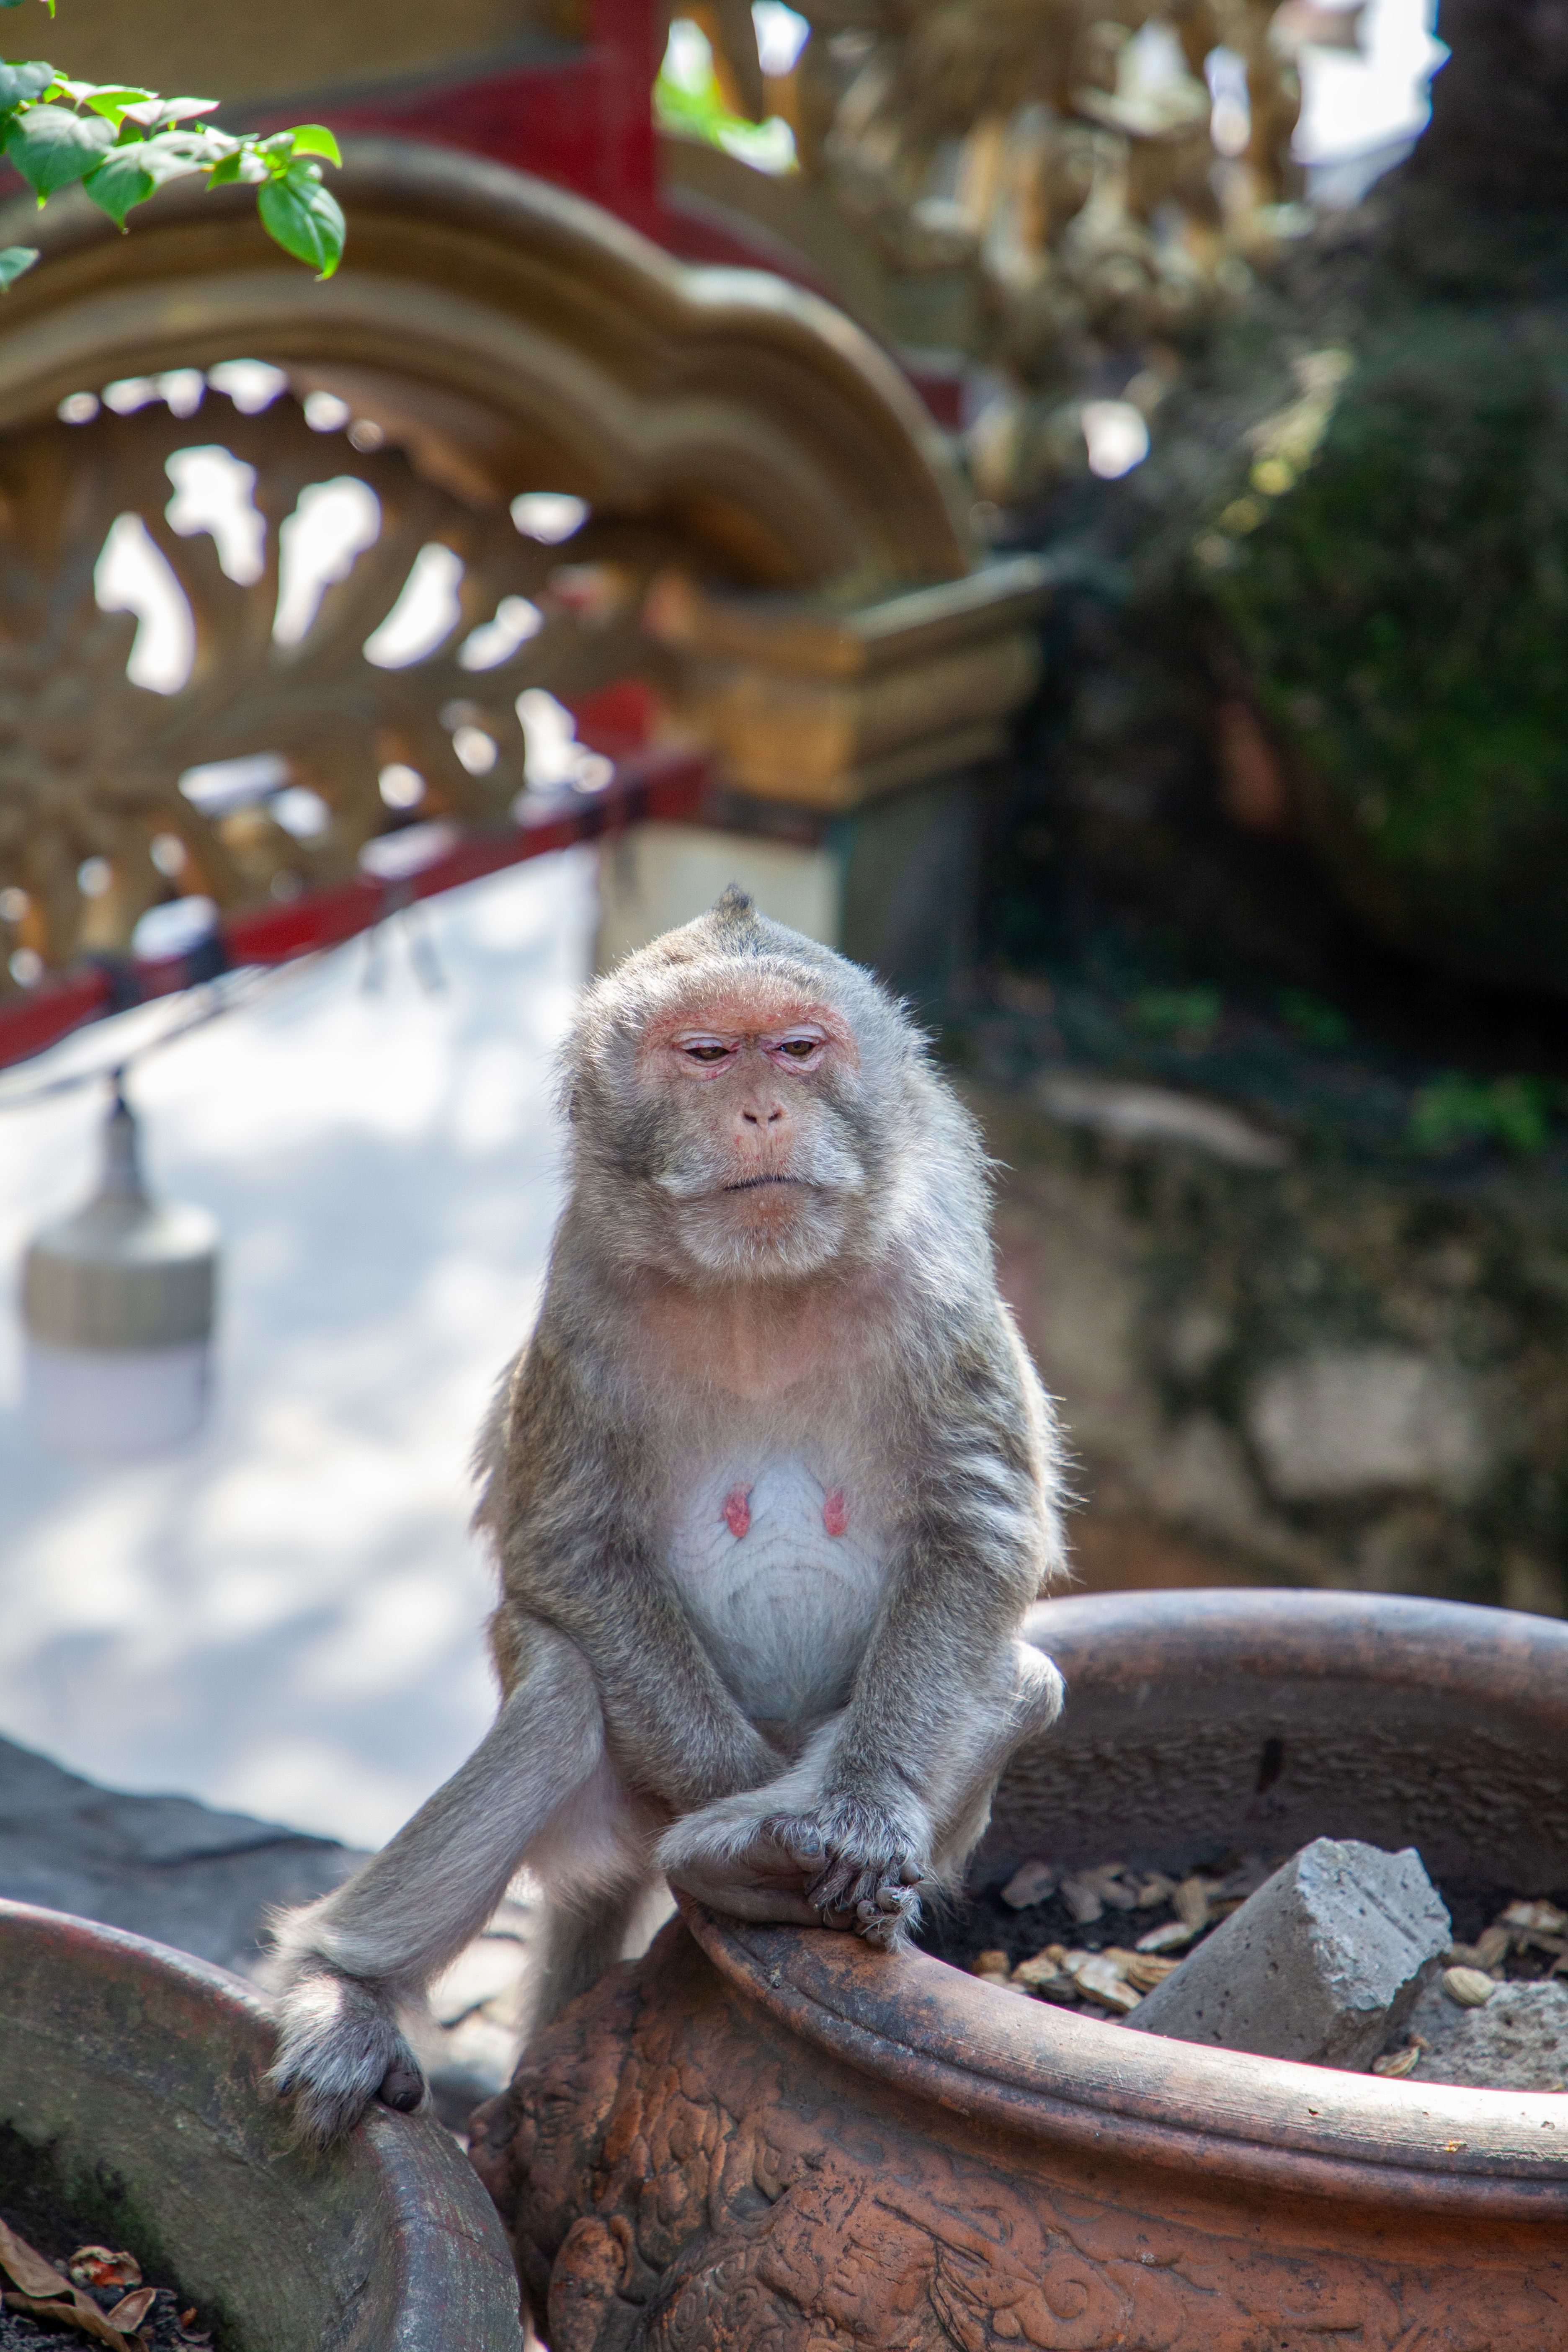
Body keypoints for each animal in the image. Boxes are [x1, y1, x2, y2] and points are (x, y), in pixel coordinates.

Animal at [268, 885, 1067, 2145]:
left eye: (796, 1048)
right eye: (703, 1055)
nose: (760, 1108)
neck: (763, 1290)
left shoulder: (940, 1288)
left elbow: (977, 1530)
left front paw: (848, 1816)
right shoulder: (585, 1294)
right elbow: (571, 1549)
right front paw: (737, 1810)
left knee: (1023, 1682)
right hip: (613, 1804)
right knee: (559, 1692)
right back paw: (357, 1978)